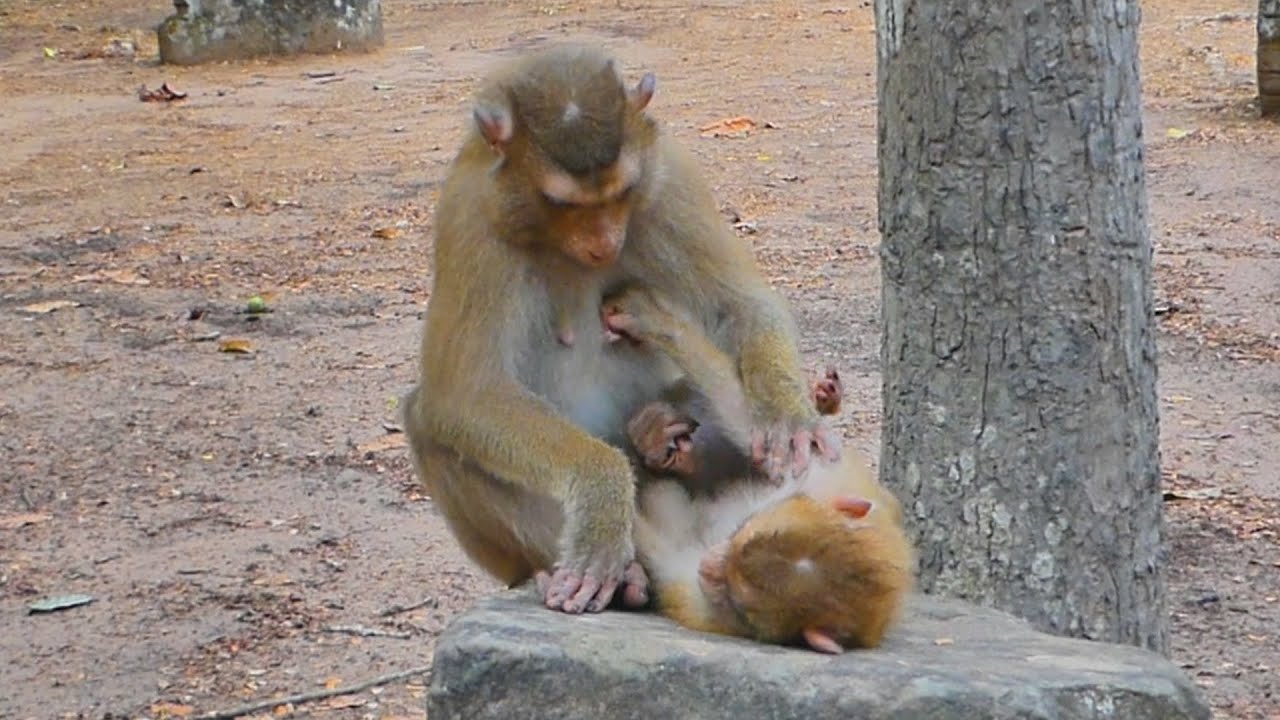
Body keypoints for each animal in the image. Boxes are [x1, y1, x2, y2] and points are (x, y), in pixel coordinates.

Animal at [402, 44, 838, 615]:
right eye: (563, 203)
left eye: (622, 192)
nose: (604, 242)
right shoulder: (468, 218)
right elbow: (464, 392)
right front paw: (600, 491)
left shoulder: (669, 178)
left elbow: (740, 306)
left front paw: (787, 414)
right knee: (428, 422)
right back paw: (617, 570)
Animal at [602, 286, 914, 652]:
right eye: (743, 532)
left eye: (737, 595)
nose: (709, 565)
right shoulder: (814, 476)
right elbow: (751, 420)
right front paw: (650, 320)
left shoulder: (709, 604)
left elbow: (664, 550)